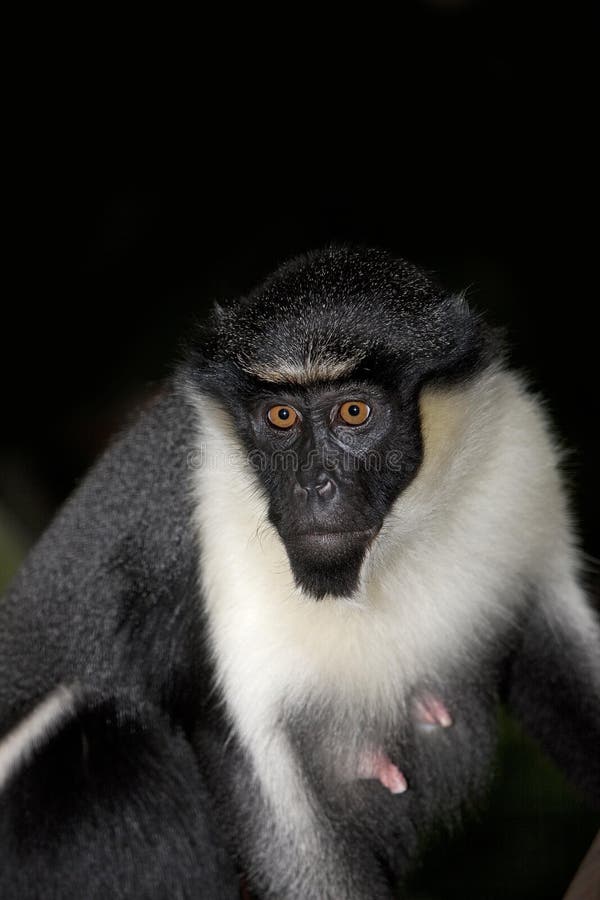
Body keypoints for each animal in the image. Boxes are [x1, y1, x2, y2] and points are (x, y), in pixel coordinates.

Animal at [0, 245, 598, 899]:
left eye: (354, 411)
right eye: (282, 416)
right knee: (103, 734)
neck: (388, 560)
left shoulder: (519, 459)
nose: (313, 486)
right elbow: (292, 840)